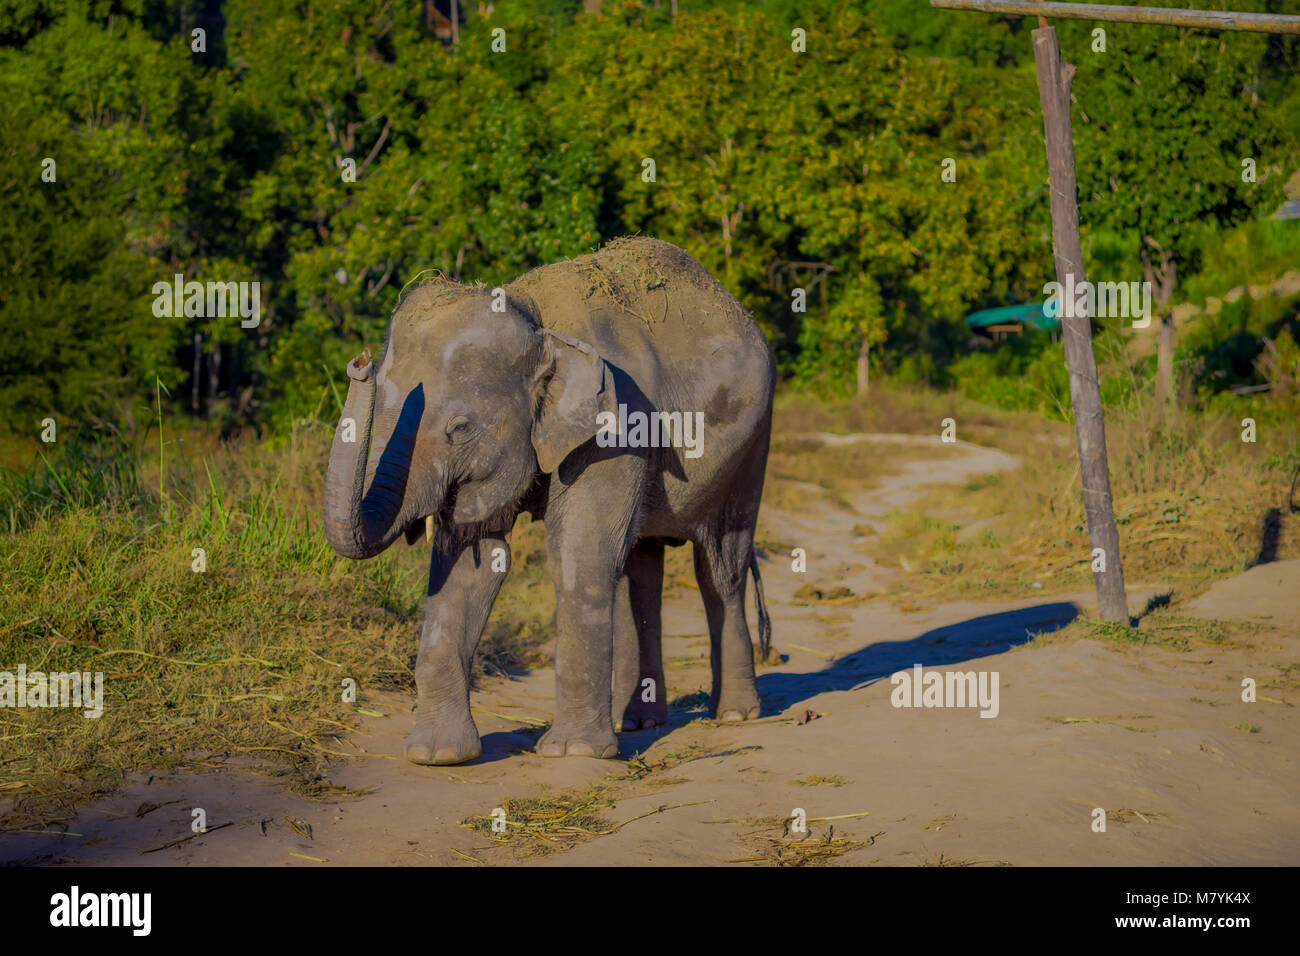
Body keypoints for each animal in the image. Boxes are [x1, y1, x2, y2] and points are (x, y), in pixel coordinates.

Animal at [323, 236, 774, 764]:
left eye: (461, 429)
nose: (359, 361)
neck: (535, 318)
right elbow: (474, 562)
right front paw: (438, 755)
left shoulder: (617, 424)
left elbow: (578, 553)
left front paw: (571, 752)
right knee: (640, 567)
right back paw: (637, 722)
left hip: (753, 448)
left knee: (721, 565)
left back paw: (736, 715)